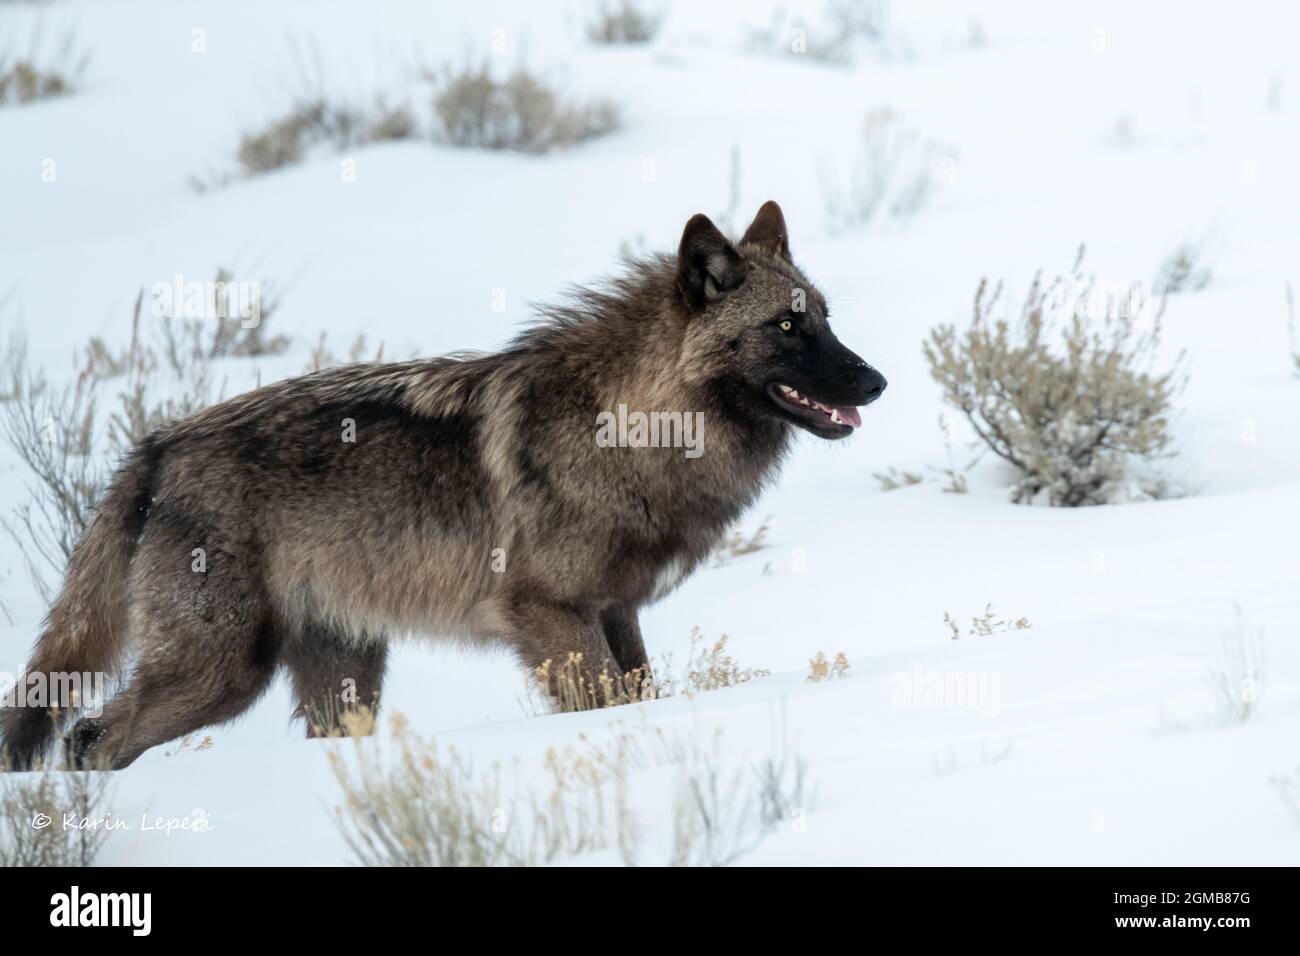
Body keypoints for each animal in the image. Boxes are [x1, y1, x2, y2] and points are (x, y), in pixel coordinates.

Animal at [1, 201, 885, 770]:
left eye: (827, 317)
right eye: (786, 327)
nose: (876, 382)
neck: (634, 424)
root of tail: (154, 448)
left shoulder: (616, 612)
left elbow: (637, 696)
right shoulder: (550, 613)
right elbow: (602, 709)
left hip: (342, 685)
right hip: (219, 673)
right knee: (88, 741)